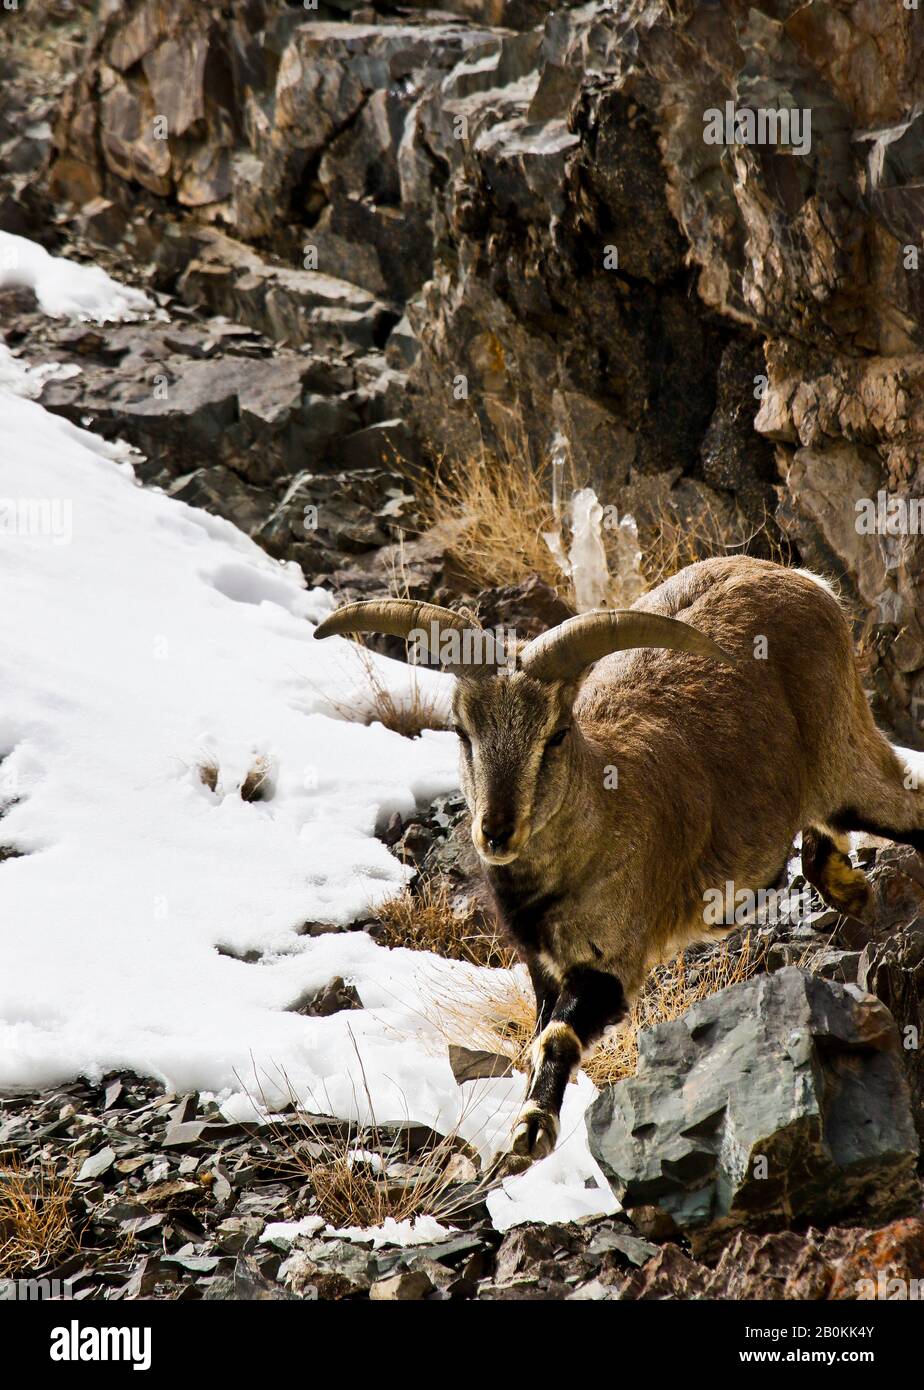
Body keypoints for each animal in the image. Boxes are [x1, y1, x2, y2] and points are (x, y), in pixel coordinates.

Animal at [315, 556, 924, 1173]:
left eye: (556, 734)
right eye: (462, 732)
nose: (496, 830)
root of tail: (805, 581)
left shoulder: (611, 957)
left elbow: (559, 1035)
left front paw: (531, 1131)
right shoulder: (542, 965)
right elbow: (541, 1029)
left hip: (845, 752)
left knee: (904, 804)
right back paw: (849, 888)